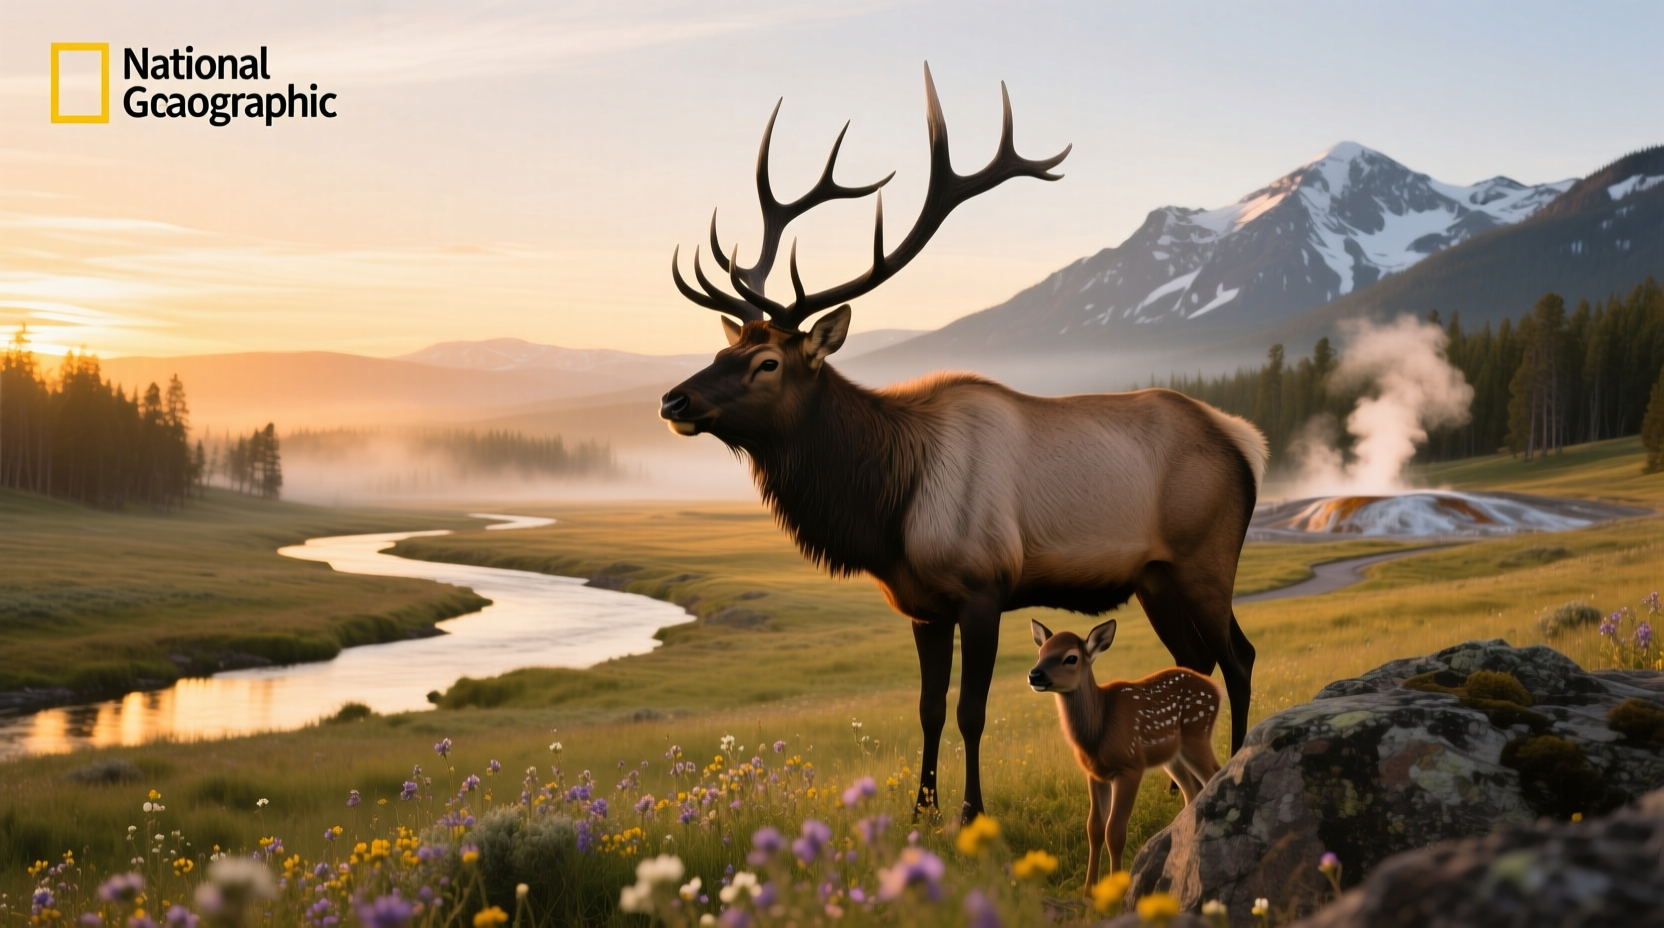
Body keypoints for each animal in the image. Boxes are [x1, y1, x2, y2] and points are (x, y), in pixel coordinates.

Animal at [659, 63, 1267, 825]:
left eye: (767, 362)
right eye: (726, 348)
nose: (673, 400)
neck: (889, 505)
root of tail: (1245, 443)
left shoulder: (983, 586)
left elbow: (970, 711)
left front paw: (972, 810)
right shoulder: (922, 605)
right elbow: (926, 709)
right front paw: (922, 809)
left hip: (1205, 556)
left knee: (1239, 655)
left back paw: (1230, 769)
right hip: (1155, 575)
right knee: (1195, 658)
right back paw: (1171, 781)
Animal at [1028, 618, 1222, 883]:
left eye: (1071, 657)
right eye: (1040, 653)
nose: (1034, 674)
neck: (1098, 732)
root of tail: (1217, 691)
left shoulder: (1130, 765)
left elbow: (1116, 832)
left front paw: (1116, 888)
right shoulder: (1095, 774)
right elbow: (1094, 828)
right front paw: (1090, 890)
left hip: (1197, 733)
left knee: (1214, 773)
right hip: (1173, 756)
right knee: (1192, 790)